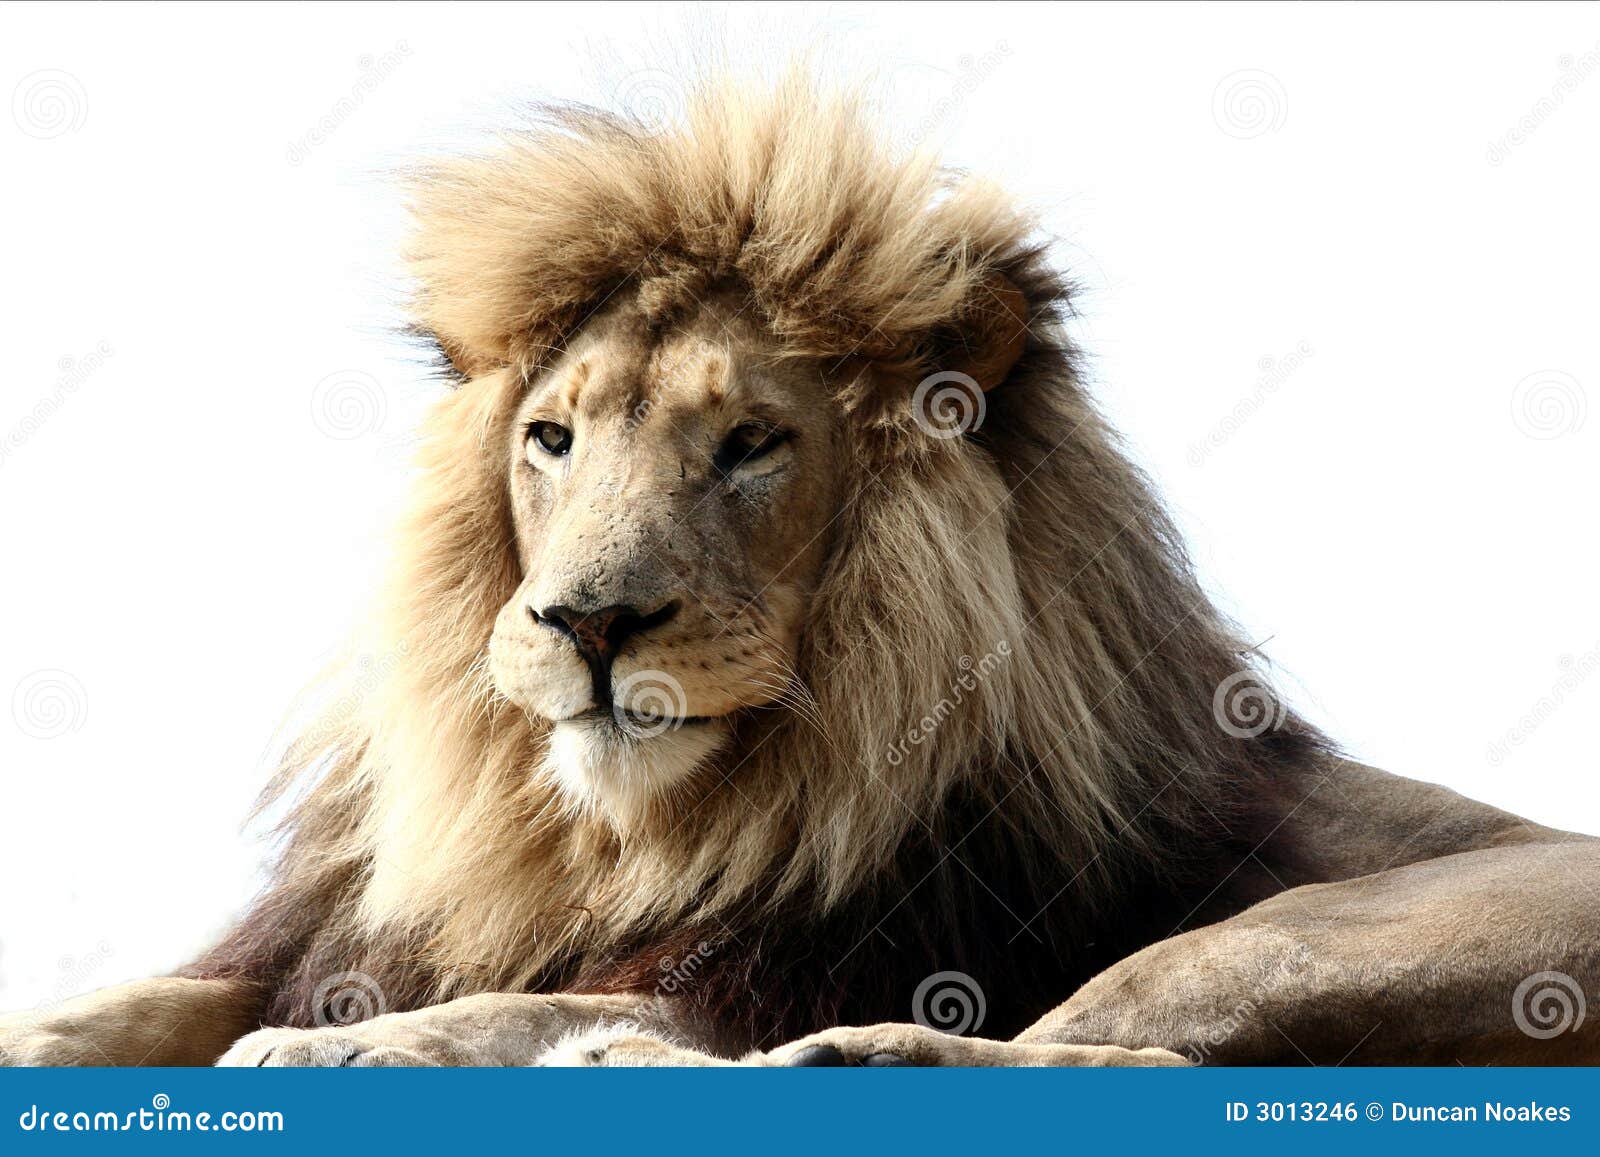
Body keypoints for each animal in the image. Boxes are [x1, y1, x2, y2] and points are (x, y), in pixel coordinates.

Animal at [2, 72, 1596, 1069]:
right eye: (550, 437)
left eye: (753, 444)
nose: (588, 622)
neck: (619, 836)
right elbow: (129, 1003)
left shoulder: (778, 957)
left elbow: (518, 1000)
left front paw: (341, 1042)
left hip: (1291, 936)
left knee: (1111, 1050)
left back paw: (806, 1056)